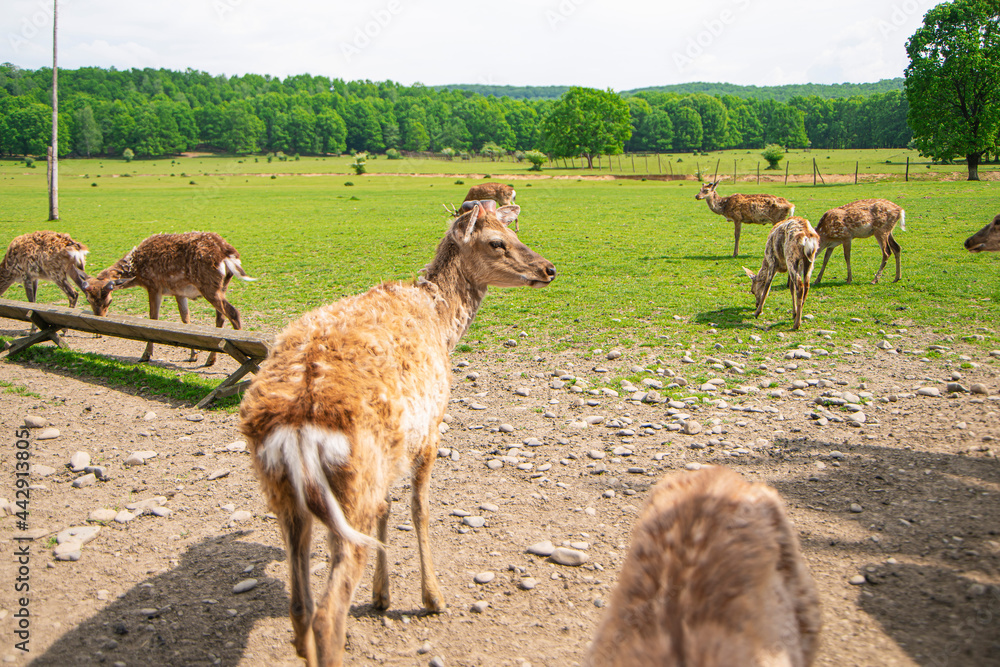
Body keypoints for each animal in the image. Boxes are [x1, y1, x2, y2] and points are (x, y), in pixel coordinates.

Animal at [81, 231, 254, 366]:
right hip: (222, 286)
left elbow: (153, 319)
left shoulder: (154, 285)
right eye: (89, 300)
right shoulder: (179, 291)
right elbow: (185, 320)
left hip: (209, 286)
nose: (98, 324)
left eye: (109, 301)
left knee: (233, 313)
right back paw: (210, 360)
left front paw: (145, 356)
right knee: (221, 317)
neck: (136, 269)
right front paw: (193, 356)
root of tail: (229, 254)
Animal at [239, 200, 555, 667]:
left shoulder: (392, 452)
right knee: (327, 613)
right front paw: (432, 598)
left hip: (286, 494)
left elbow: (389, 507)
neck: (442, 324)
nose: (549, 268)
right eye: (497, 242)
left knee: (300, 606)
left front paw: (382, 595)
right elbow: (419, 507)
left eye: (515, 232)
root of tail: (296, 426)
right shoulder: (431, 427)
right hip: (350, 488)